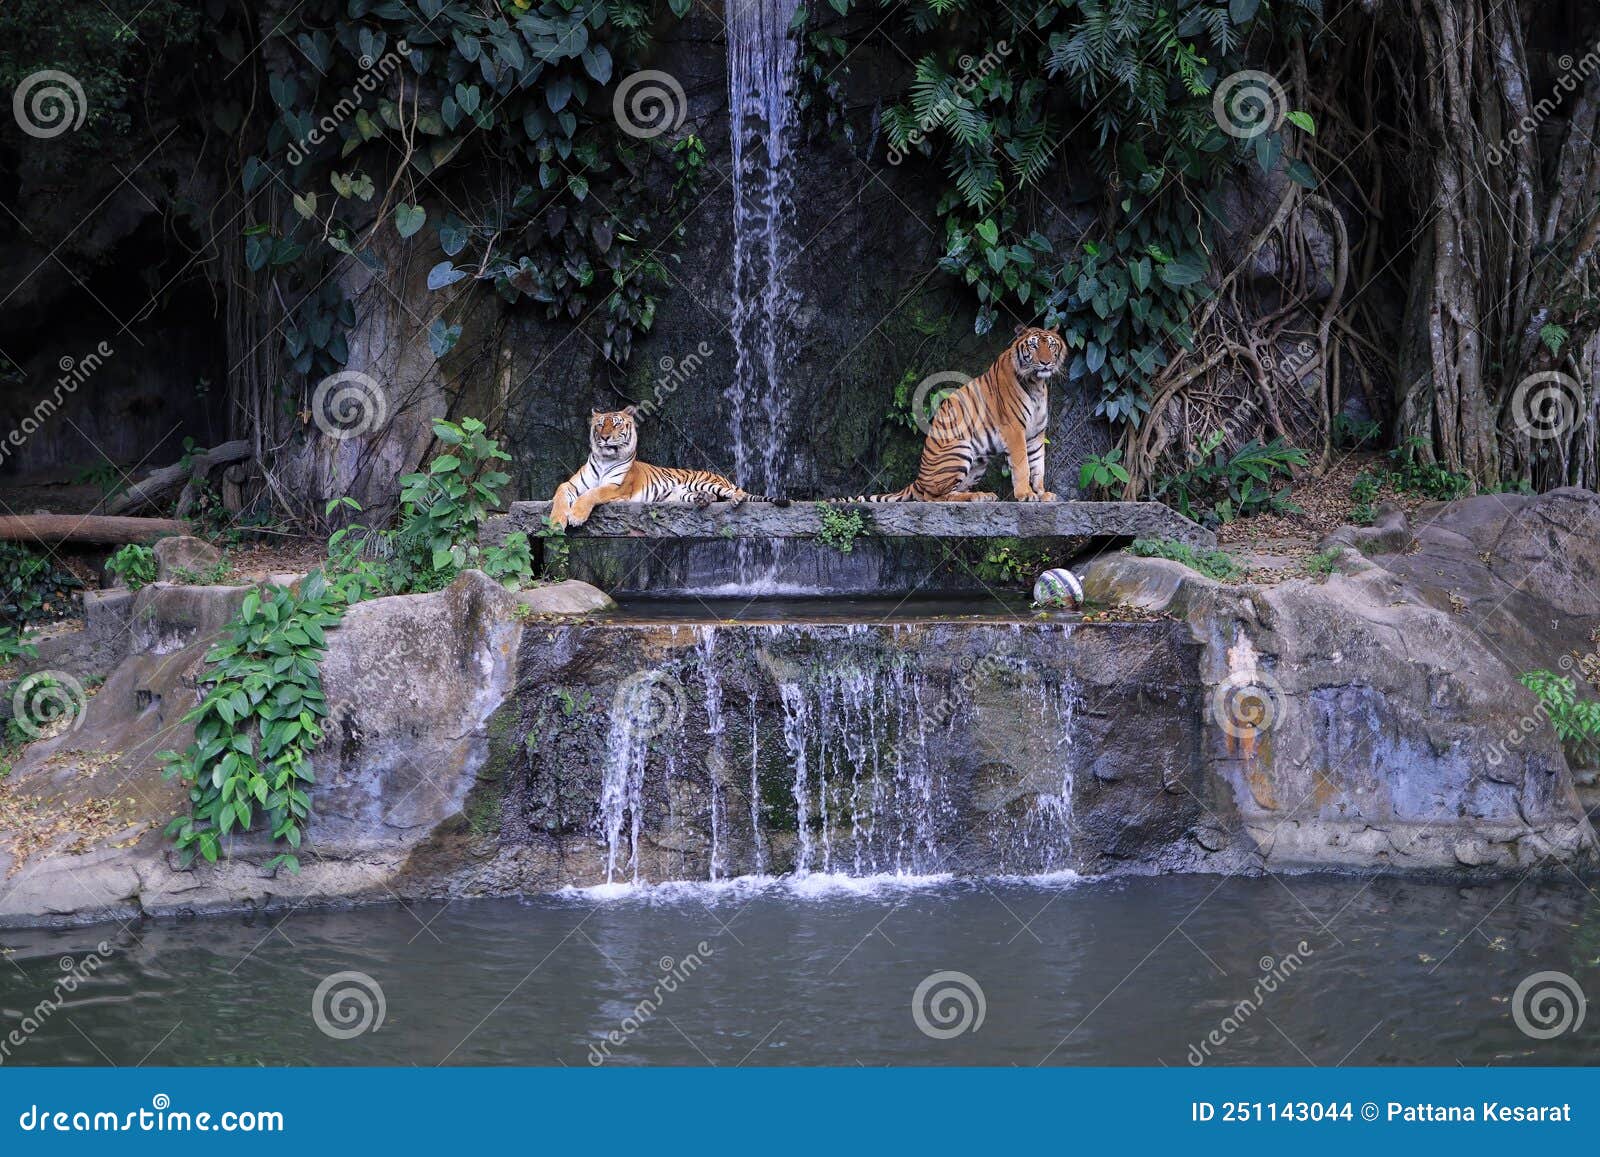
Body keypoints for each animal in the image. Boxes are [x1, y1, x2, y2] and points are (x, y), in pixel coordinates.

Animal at [549, 406, 789, 529]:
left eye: (616, 424)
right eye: (600, 424)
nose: (605, 437)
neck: (604, 459)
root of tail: (719, 476)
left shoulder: (616, 487)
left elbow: (592, 494)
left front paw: (576, 516)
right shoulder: (571, 484)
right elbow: (561, 492)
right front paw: (556, 520)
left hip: (708, 482)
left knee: (738, 492)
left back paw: (736, 499)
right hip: (683, 493)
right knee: (711, 497)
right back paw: (703, 500)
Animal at [839, 326, 1065, 503]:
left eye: (1051, 345)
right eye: (1033, 346)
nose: (1045, 363)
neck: (1036, 383)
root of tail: (918, 480)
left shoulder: (1036, 433)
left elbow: (1038, 465)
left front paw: (1042, 493)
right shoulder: (1014, 429)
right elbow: (1022, 465)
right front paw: (1025, 494)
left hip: (979, 461)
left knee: (953, 491)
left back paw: (983, 495)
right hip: (960, 448)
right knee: (935, 497)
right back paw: (977, 496)